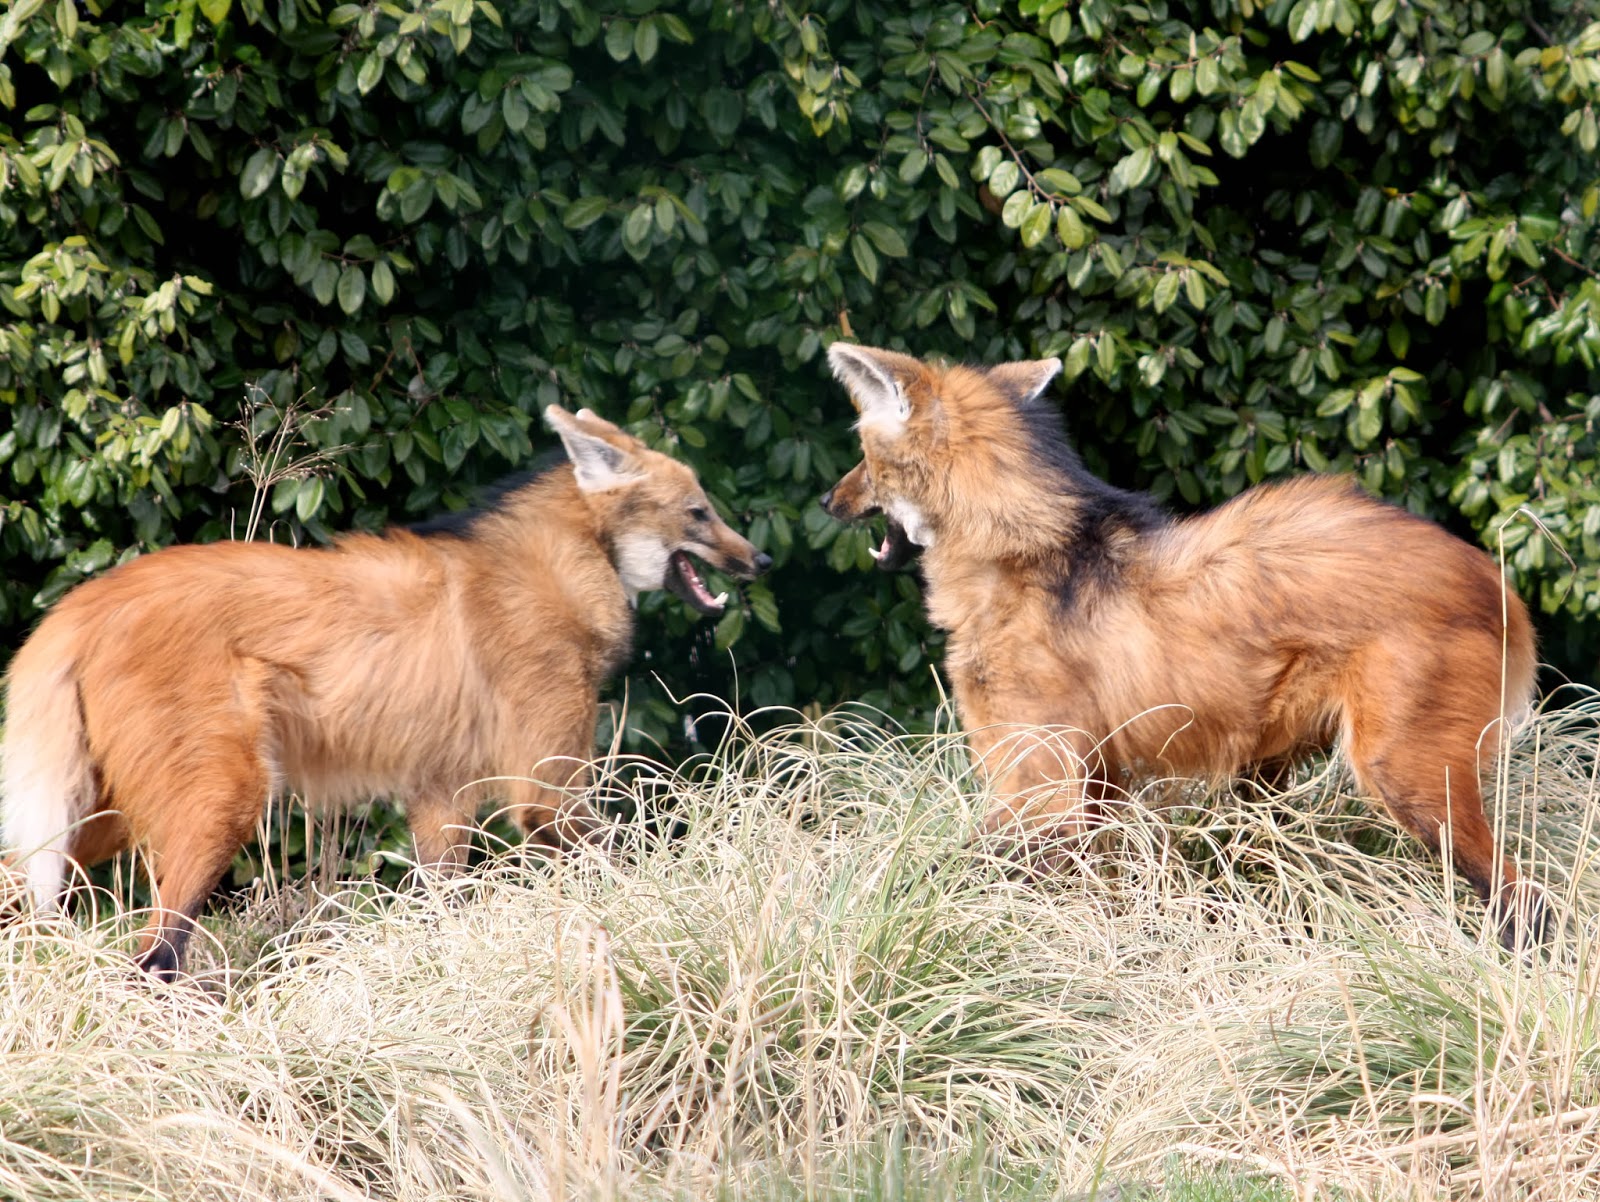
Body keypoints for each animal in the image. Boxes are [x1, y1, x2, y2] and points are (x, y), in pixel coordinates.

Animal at [1, 406, 770, 979]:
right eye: (700, 513)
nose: (759, 559)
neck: (564, 566)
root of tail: (78, 608)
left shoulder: (442, 792)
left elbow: (446, 901)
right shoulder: (545, 785)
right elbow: (613, 858)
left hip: (100, 805)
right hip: (219, 797)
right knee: (154, 953)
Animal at [821, 342, 1544, 948]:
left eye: (864, 456)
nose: (828, 499)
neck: (1012, 550)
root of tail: (1495, 582)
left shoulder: (1040, 784)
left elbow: (957, 871)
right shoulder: (1094, 784)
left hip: (1403, 776)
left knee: (1526, 895)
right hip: (1271, 770)